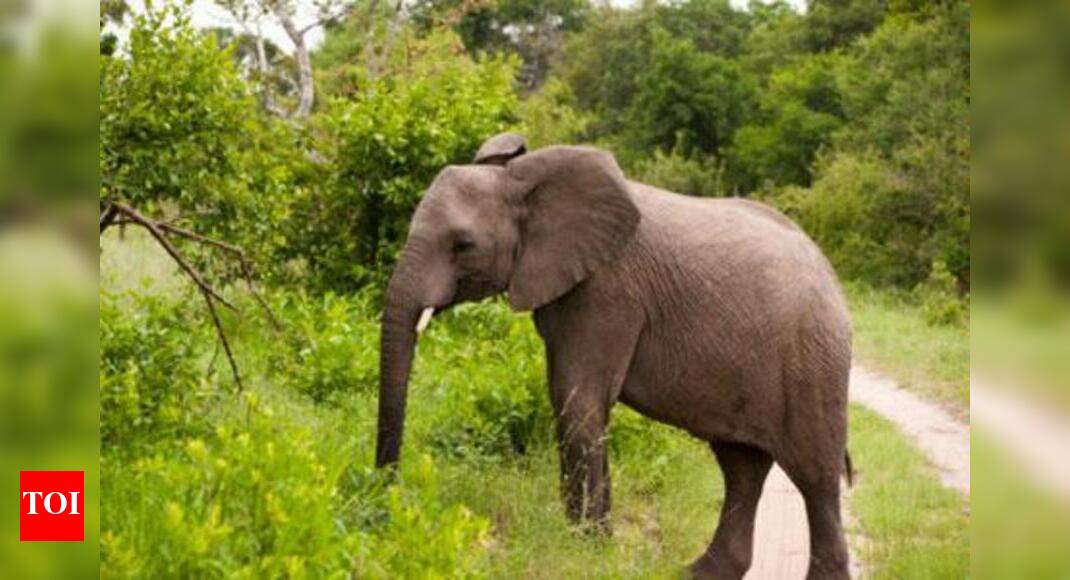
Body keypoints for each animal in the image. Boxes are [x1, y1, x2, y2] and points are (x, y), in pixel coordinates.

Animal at [375, 133, 853, 579]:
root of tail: (830, 273)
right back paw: (694, 571)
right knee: (741, 467)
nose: (390, 496)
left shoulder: (609, 290)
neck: (524, 180)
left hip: (812, 359)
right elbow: (575, 401)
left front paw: (586, 546)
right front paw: (595, 543)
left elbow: (577, 400)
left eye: (462, 245)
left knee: (815, 476)